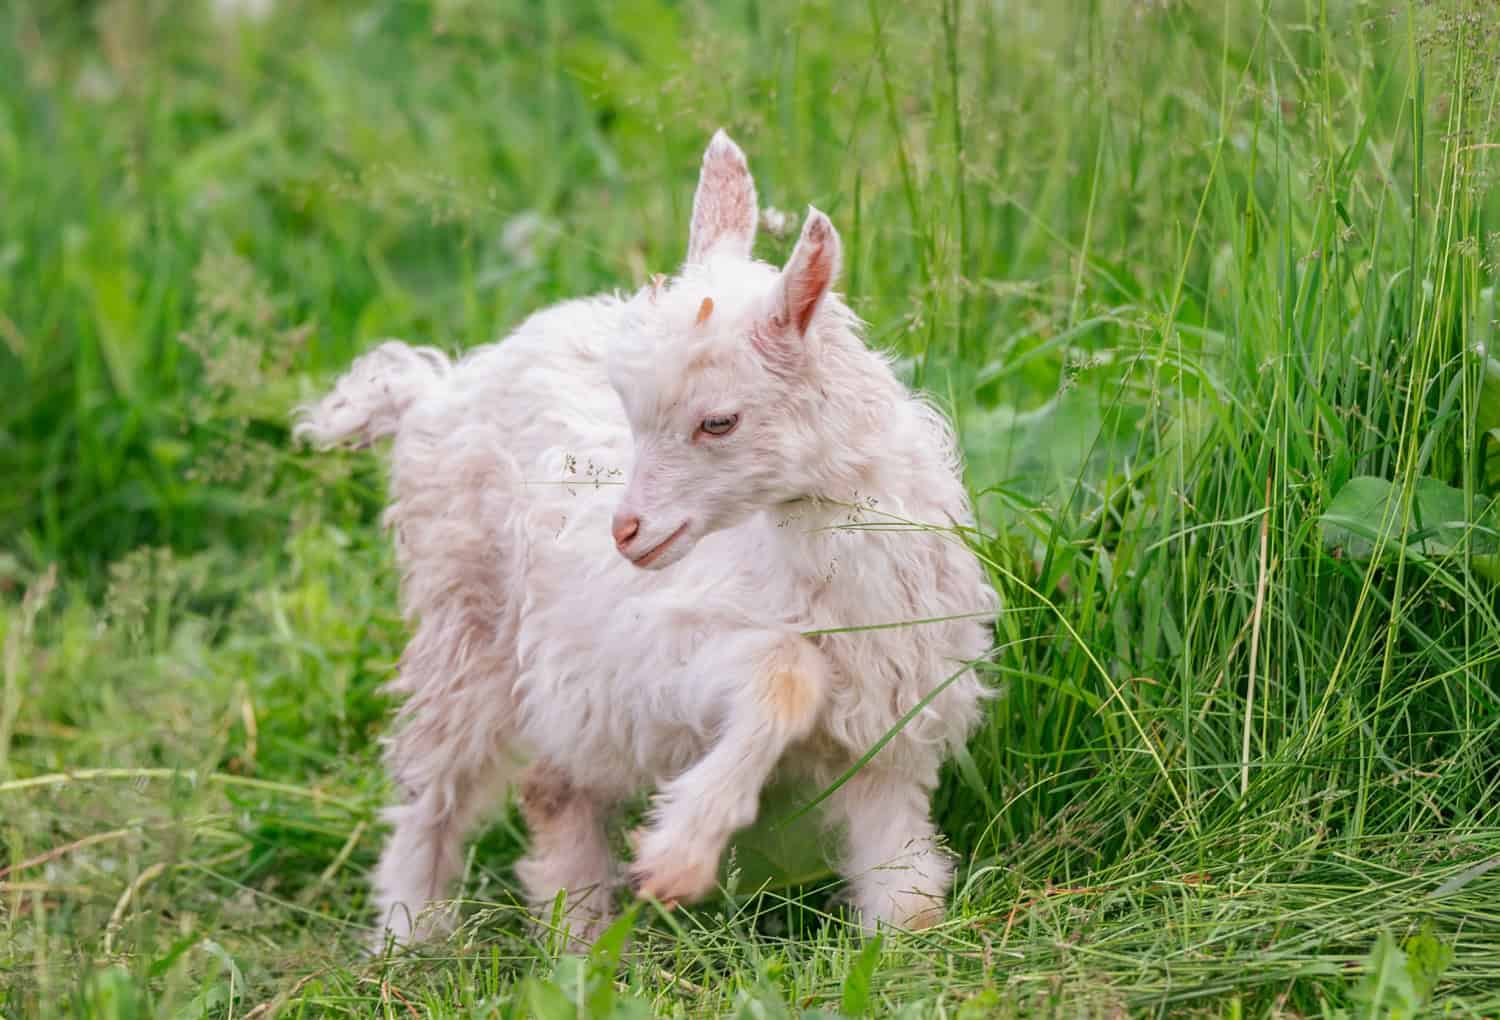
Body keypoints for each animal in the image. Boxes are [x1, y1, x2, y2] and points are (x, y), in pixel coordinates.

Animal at [296, 131, 998, 947]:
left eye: (718, 421)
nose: (625, 534)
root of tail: (435, 389)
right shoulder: (663, 657)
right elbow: (786, 675)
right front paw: (679, 854)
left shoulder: (890, 735)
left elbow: (908, 892)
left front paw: (908, 947)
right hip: (464, 622)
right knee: (433, 787)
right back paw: (407, 938)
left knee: (552, 782)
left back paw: (575, 932)